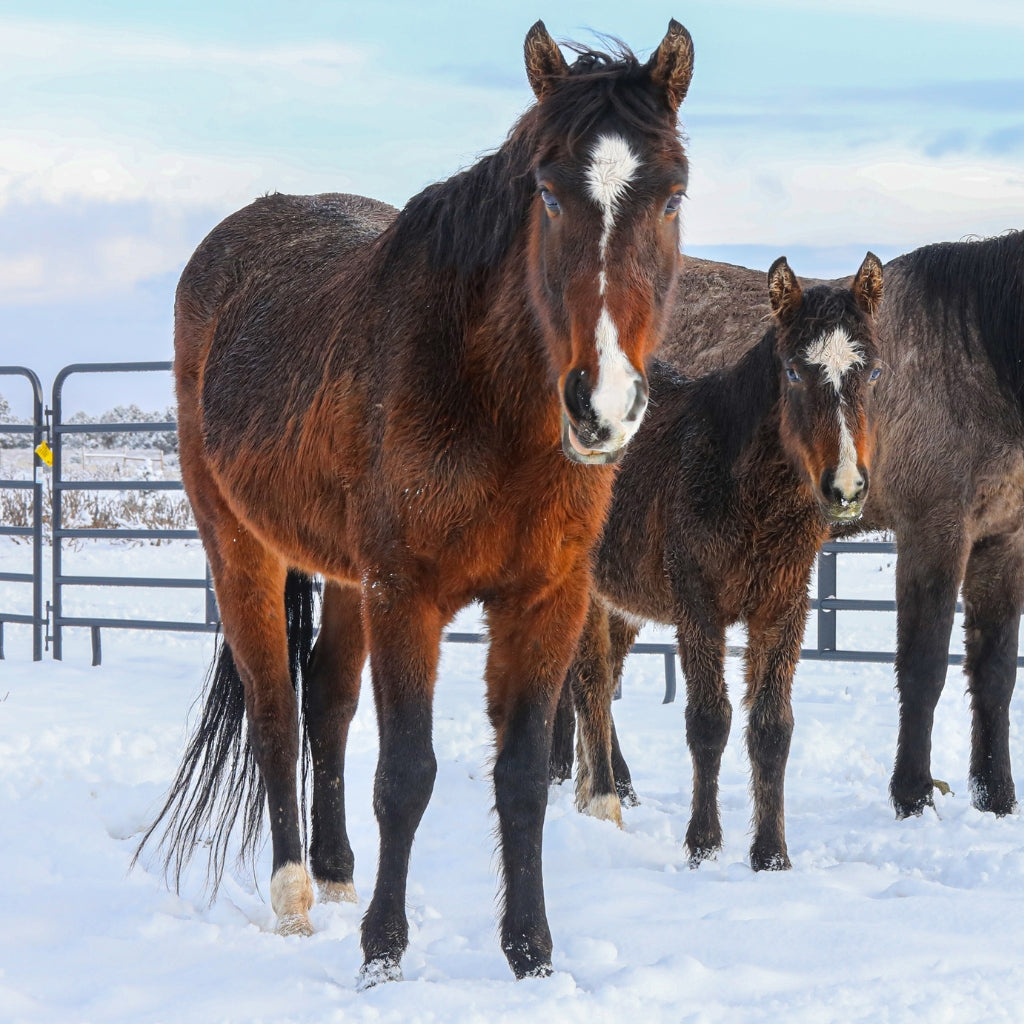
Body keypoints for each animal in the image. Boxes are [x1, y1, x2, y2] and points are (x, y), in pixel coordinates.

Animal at [135, 21, 695, 985]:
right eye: (548, 194)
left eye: (671, 197)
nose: (605, 404)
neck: (489, 401)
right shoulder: (409, 595)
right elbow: (406, 775)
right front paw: (384, 956)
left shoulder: (546, 598)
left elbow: (520, 775)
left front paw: (531, 955)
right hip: (240, 548)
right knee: (276, 712)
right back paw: (294, 897)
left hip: (343, 576)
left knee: (325, 704)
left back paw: (335, 873)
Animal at [559, 254, 883, 870]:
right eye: (794, 371)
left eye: (873, 372)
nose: (847, 488)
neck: (743, 490)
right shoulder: (698, 607)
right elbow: (709, 720)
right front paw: (703, 843)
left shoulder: (783, 608)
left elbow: (772, 728)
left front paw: (771, 854)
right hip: (585, 589)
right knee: (590, 684)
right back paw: (602, 801)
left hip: (623, 602)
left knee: (603, 683)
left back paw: (597, 789)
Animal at [573, 230, 1024, 825]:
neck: (968, 355)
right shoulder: (934, 534)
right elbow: (924, 670)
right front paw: (913, 795)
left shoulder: (1003, 541)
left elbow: (995, 676)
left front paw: (996, 798)